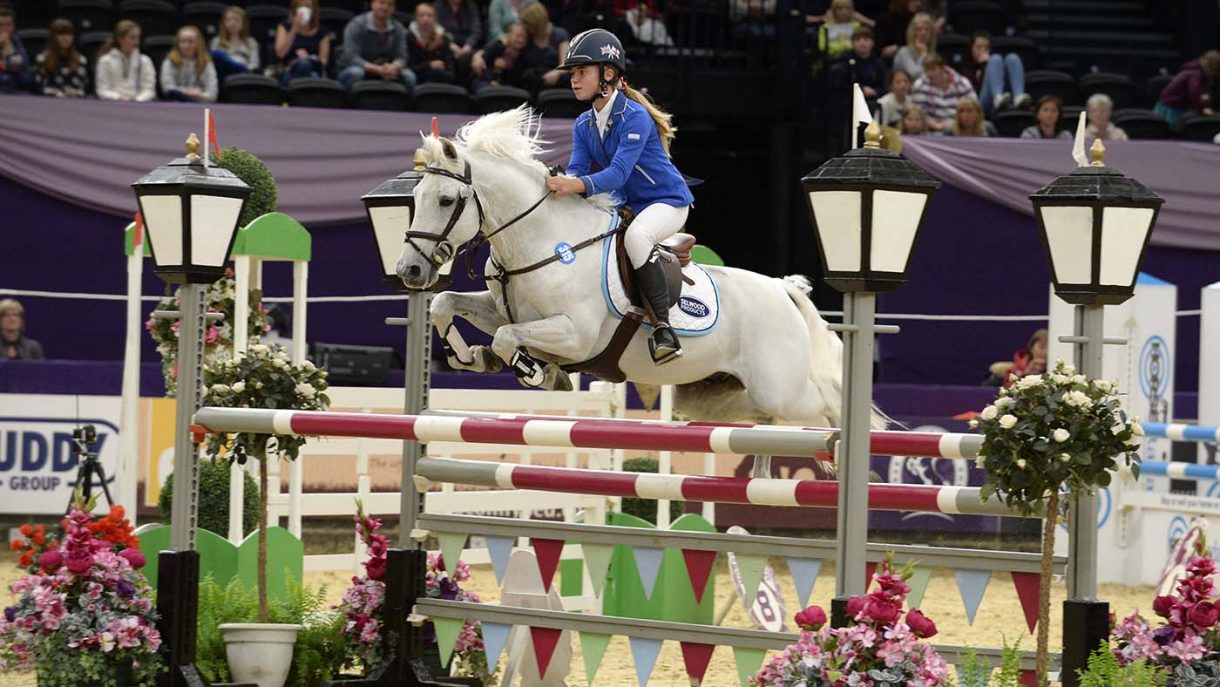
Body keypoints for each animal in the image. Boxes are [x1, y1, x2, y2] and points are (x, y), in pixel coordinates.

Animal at [396, 107, 882, 475]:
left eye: (445, 201)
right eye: (414, 198)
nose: (410, 270)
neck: (544, 242)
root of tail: (783, 291)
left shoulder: (574, 335)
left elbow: (507, 338)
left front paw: (536, 371)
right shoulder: (505, 310)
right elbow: (448, 306)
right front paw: (470, 357)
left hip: (783, 388)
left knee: (827, 402)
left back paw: (850, 452)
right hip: (712, 396)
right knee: (764, 416)